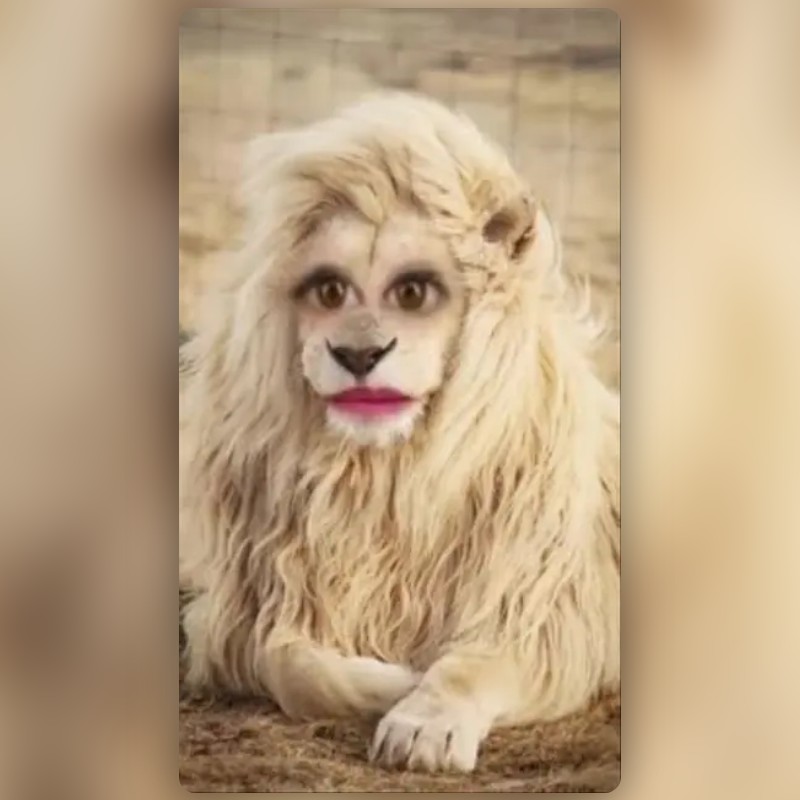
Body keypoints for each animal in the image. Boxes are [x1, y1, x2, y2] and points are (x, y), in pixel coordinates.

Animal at [179, 92, 620, 773]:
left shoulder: (551, 616)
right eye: (329, 289)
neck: (383, 477)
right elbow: (288, 662)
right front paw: (392, 681)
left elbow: (469, 665)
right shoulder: (245, 610)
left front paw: (423, 724)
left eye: (414, 291)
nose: (358, 355)